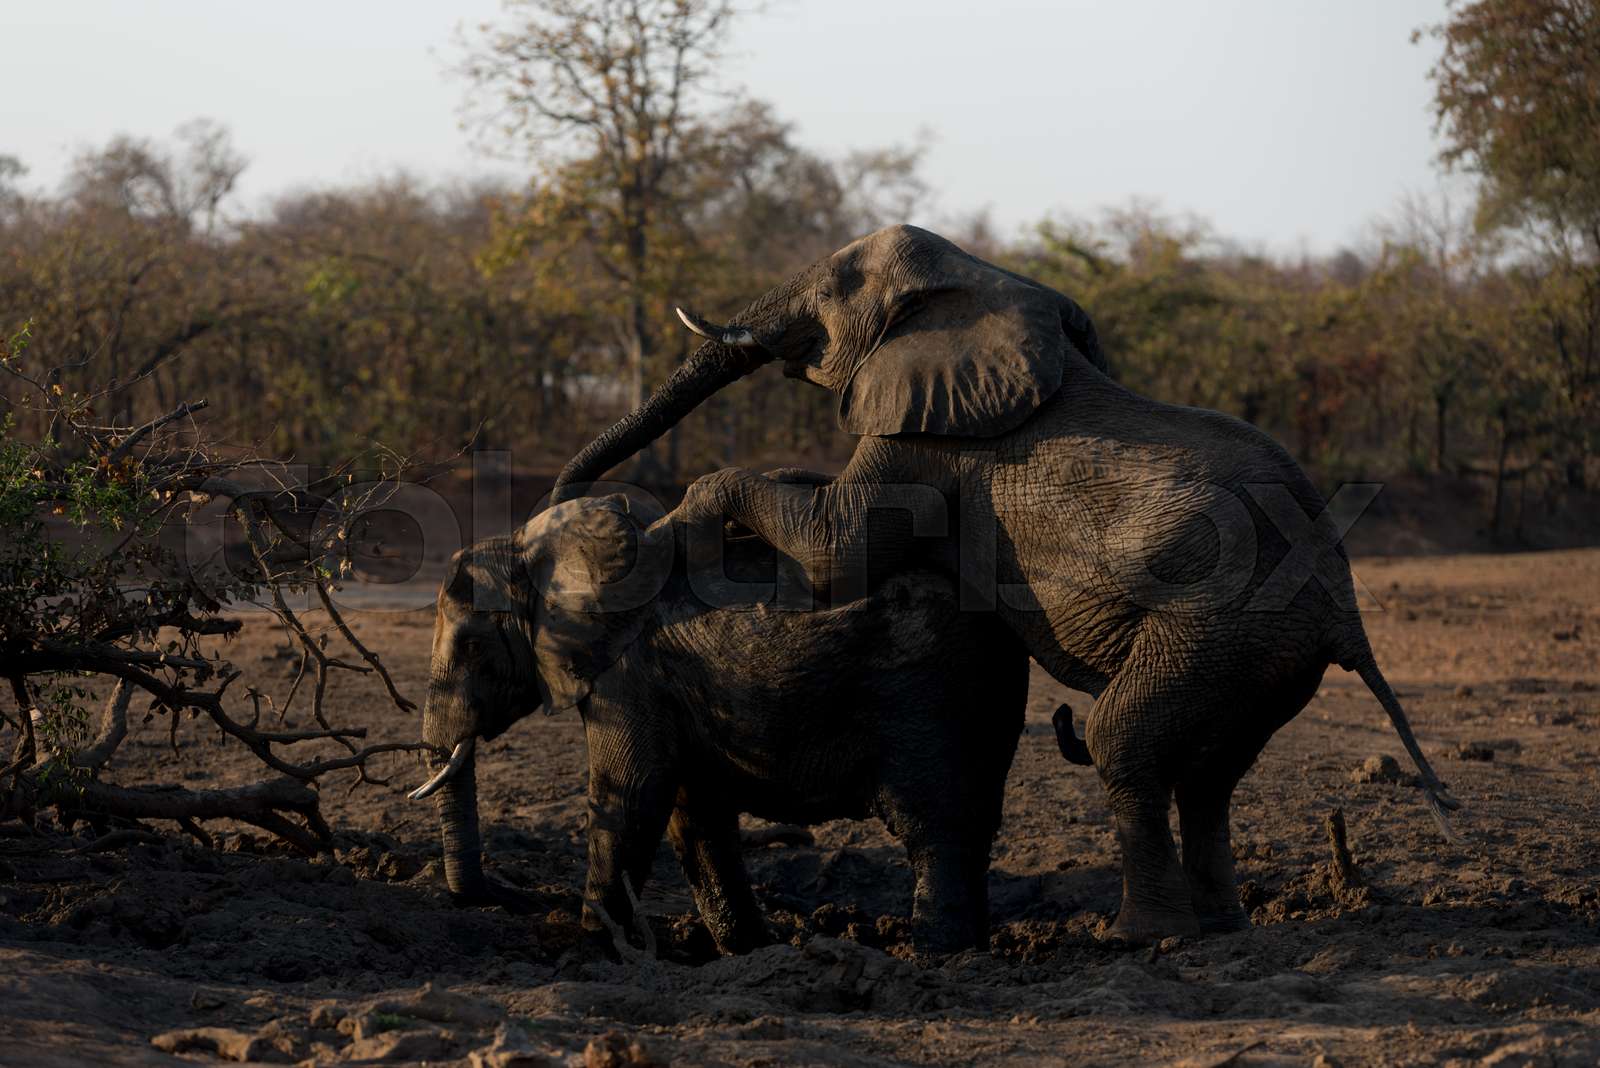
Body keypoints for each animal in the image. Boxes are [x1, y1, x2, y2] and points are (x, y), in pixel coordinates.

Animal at [408, 491, 1029, 956]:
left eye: (471, 647)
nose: (516, 899)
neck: (531, 549)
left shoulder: (629, 672)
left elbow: (634, 792)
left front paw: (594, 943)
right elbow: (694, 812)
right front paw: (750, 950)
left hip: (929, 689)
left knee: (934, 824)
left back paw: (936, 954)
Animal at [549, 224, 1461, 944]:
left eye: (836, 285)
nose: (571, 495)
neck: (984, 279)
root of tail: (1347, 609)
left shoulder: (923, 437)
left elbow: (835, 550)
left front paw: (687, 516)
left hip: (1224, 627)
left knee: (1124, 741)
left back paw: (1140, 937)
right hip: (1264, 655)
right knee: (1211, 776)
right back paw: (1220, 926)